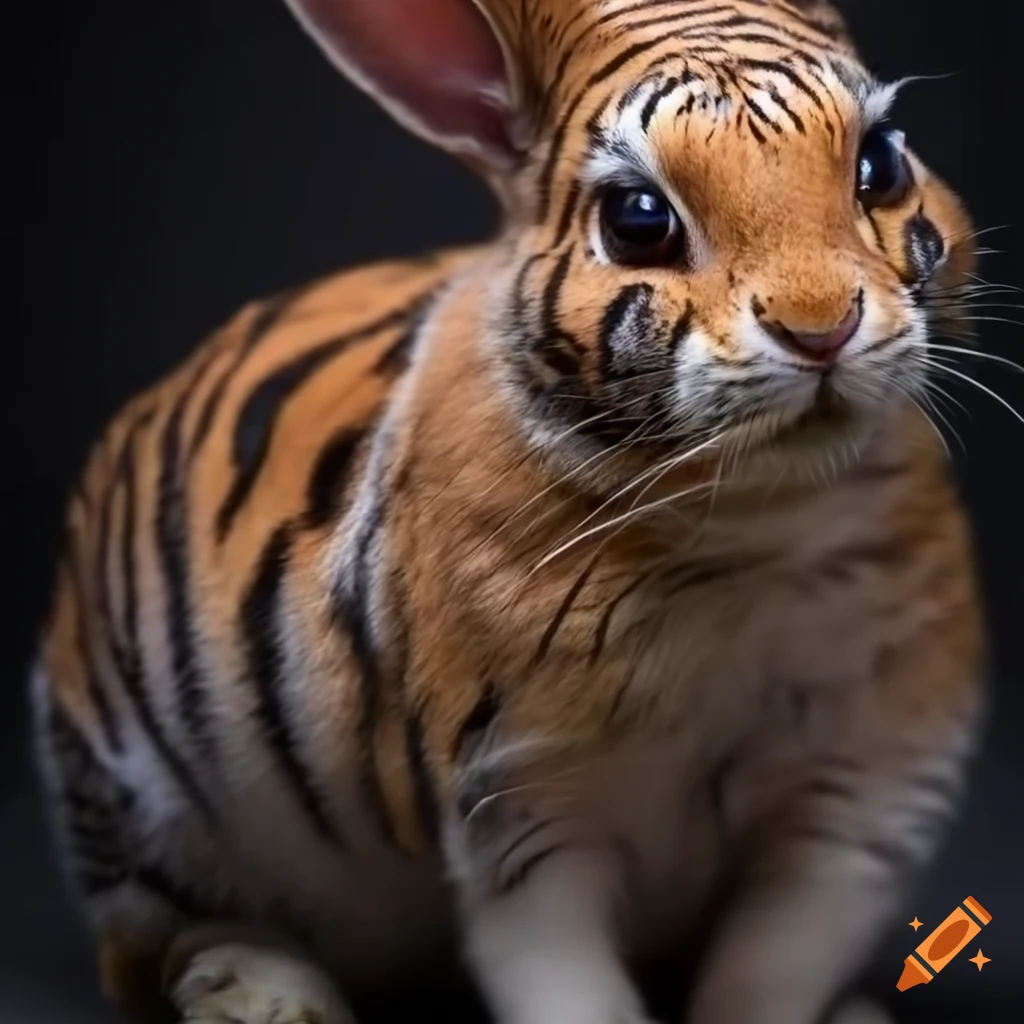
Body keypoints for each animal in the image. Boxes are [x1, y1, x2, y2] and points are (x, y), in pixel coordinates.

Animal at [31, 1, 986, 1022]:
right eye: (638, 220)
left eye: (880, 163)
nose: (821, 326)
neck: (759, 519)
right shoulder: (521, 808)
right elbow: (564, 981)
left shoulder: (864, 799)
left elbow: (772, 971)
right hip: (145, 821)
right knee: (164, 945)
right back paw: (261, 996)